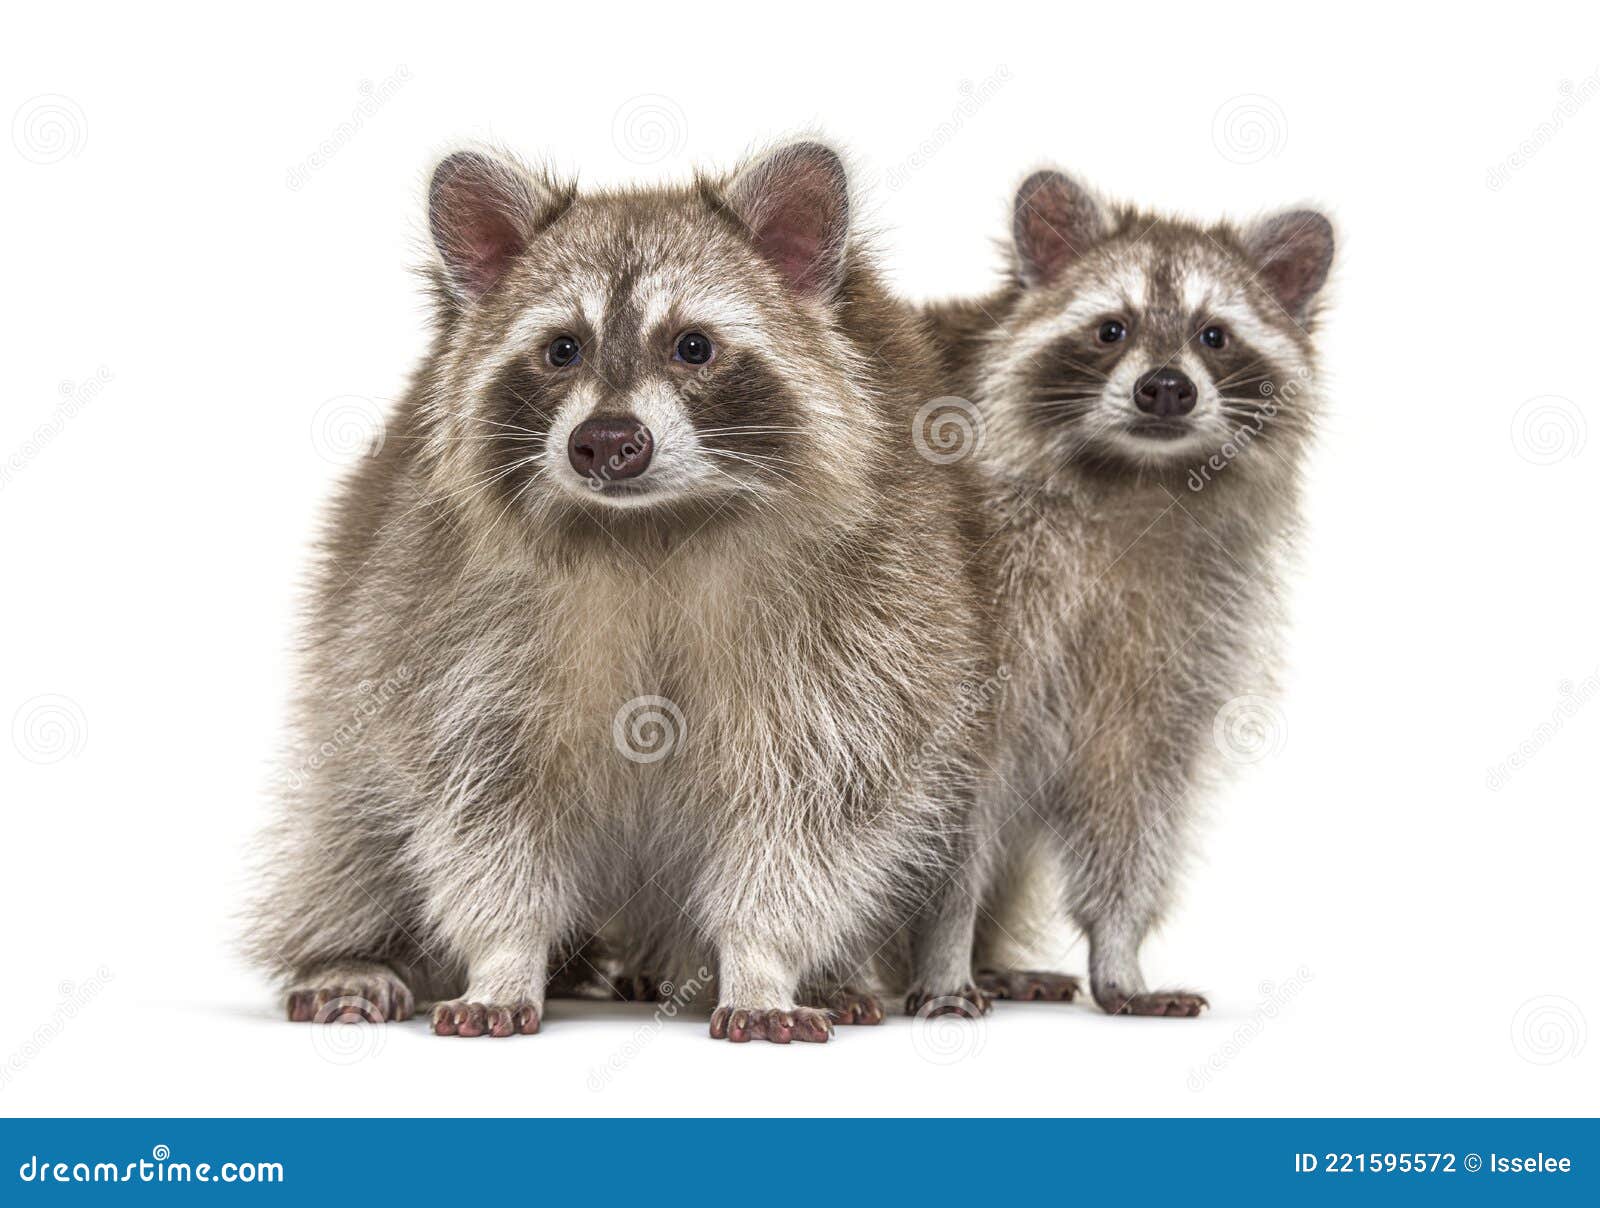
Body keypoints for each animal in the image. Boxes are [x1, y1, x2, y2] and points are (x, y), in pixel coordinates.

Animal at [245, 142, 995, 1043]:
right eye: (562, 349)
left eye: (694, 347)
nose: (605, 443)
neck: (648, 526)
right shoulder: (449, 616)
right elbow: (482, 807)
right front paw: (504, 959)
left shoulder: (872, 616)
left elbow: (810, 814)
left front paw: (764, 964)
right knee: (345, 825)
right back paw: (350, 949)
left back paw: (831, 973)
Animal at [922, 170, 1333, 1015]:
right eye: (1112, 329)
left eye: (1215, 336)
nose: (1166, 389)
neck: (1139, 480)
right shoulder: (975, 595)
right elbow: (946, 808)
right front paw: (944, 950)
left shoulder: (1192, 615)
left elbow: (1134, 789)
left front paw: (1118, 950)